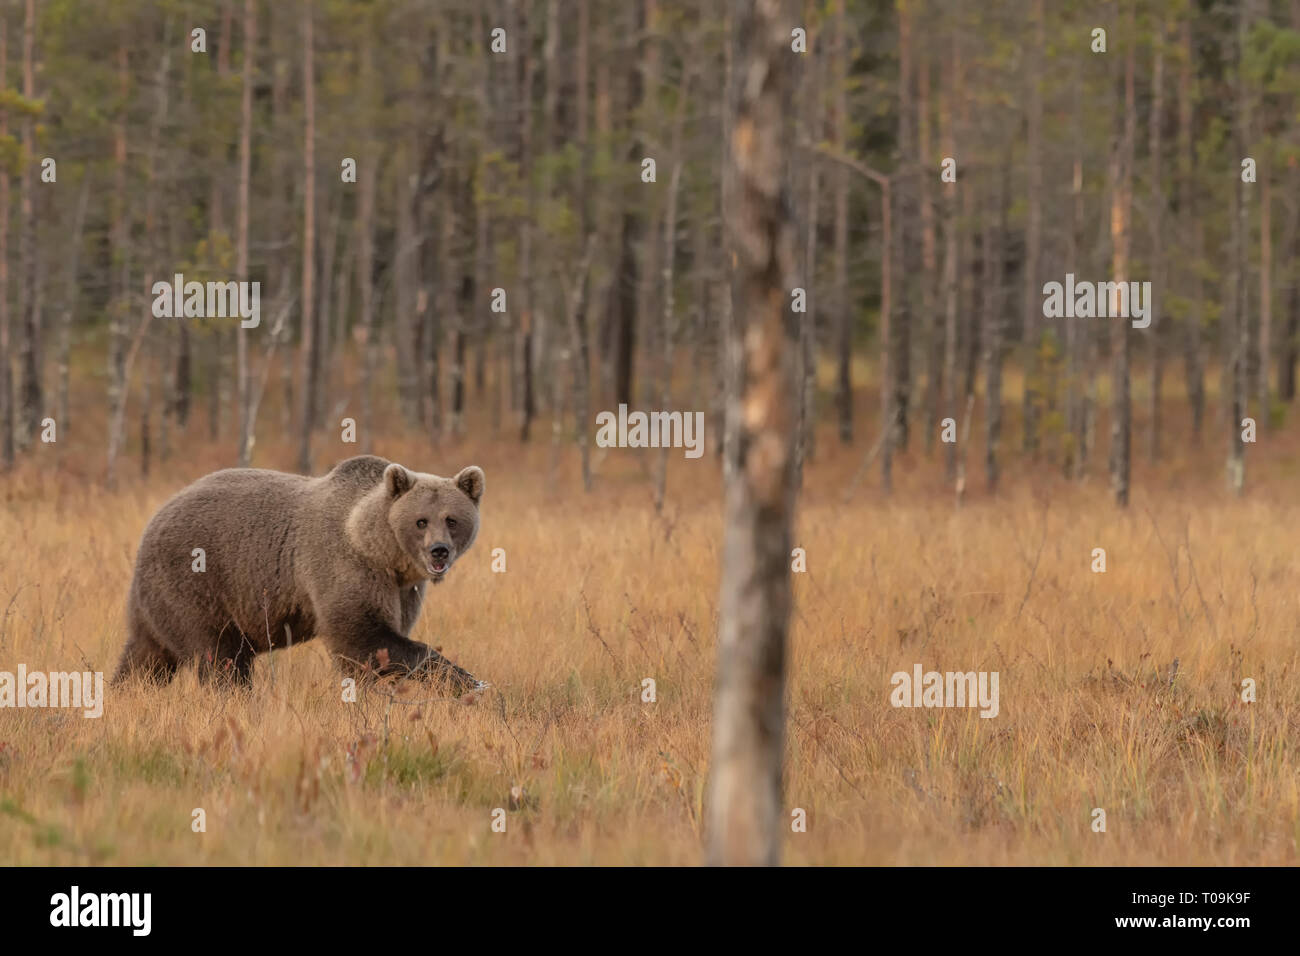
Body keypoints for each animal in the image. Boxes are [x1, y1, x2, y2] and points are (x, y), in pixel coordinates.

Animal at [114, 454, 485, 693]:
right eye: (421, 520)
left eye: (452, 519)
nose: (439, 550)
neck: (378, 548)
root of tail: (155, 519)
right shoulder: (344, 567)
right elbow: (361, 637)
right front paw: (472, 683)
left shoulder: (402, 589)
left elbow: (383, 642)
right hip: (197, 583)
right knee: (220, 657)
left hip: (159, 603)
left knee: (145, 659)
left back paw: (125, 693)